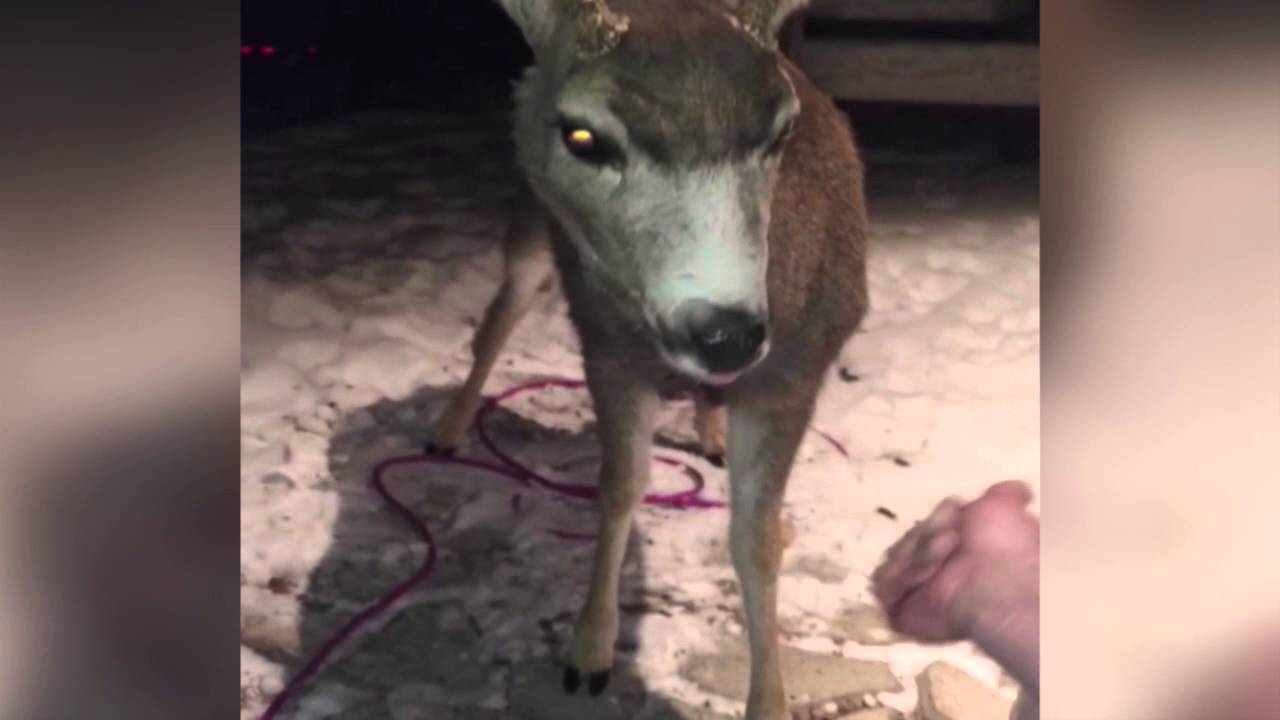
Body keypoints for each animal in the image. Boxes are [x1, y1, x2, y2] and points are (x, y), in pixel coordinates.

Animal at [426, 0, 868, 717]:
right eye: (582, 137)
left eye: (783, 130)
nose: (725, 331)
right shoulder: (608, 349)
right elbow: (618, 488)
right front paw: (589, 650)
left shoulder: (794, 368)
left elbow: (758, 538)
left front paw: (770, 697)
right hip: (530, 234)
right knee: (495, 321)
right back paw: (447, 427)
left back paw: (710, 431)